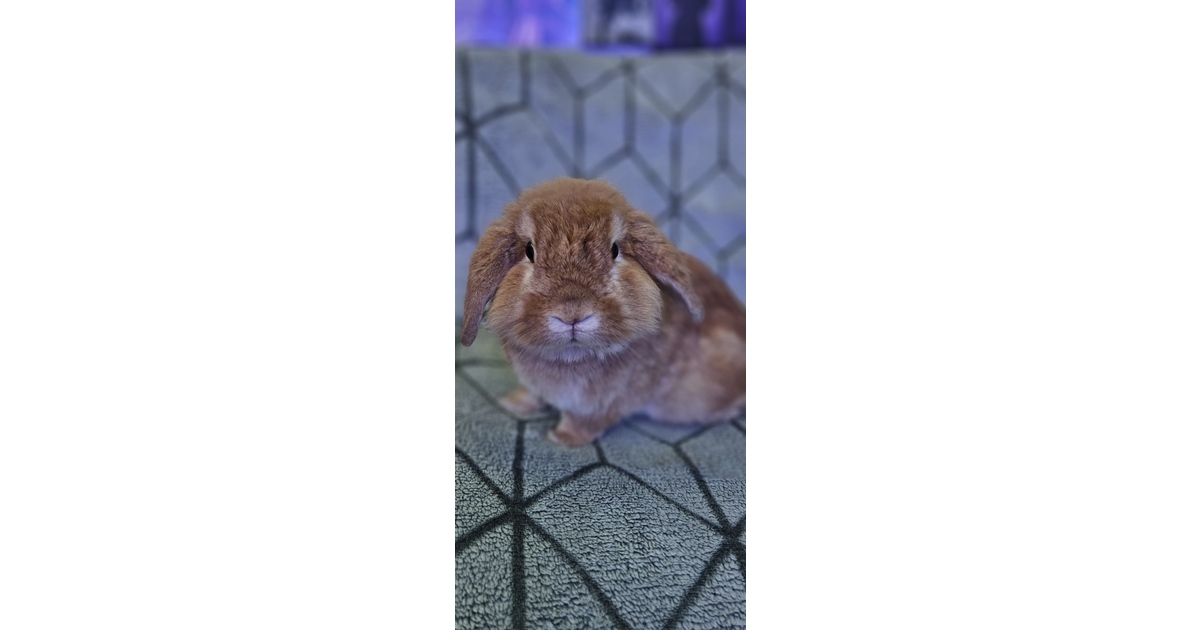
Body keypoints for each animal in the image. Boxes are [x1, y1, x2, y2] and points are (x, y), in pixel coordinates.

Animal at [461, 177, 745, 447]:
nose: (572, 311)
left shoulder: (609, 402)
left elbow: (587, 421)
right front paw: (512, 404)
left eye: (614, 250)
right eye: (529, 251)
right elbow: (532, 394)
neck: (571, 355)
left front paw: (562, 438)